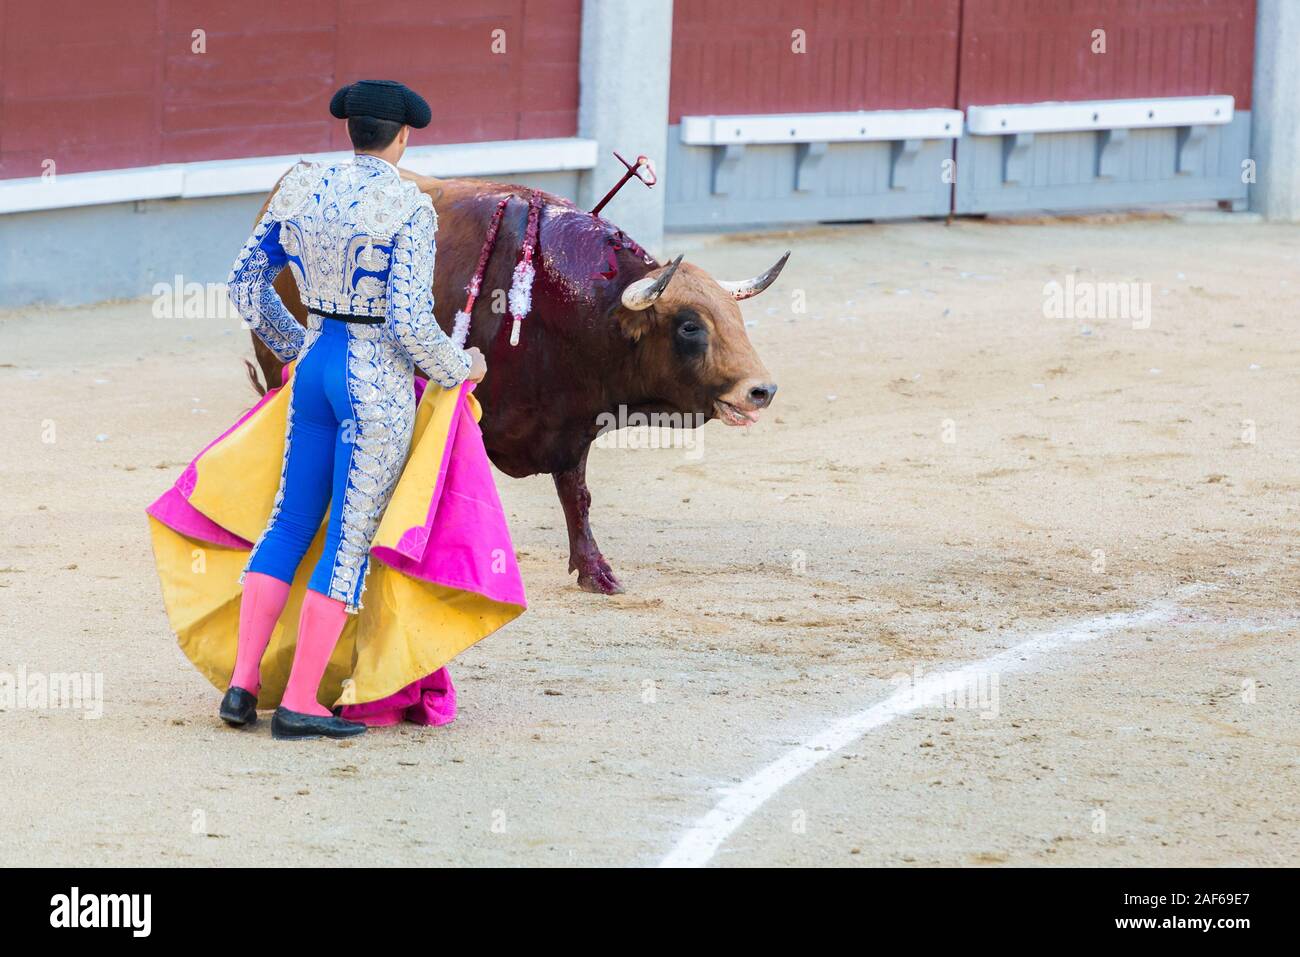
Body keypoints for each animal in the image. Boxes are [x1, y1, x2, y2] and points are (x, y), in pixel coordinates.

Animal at [247, 171, 787, 594]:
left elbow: (577, 496)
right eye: (690, 326)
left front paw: (596, 572)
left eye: (735, 317)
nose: (761, 390)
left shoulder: (574, 428)